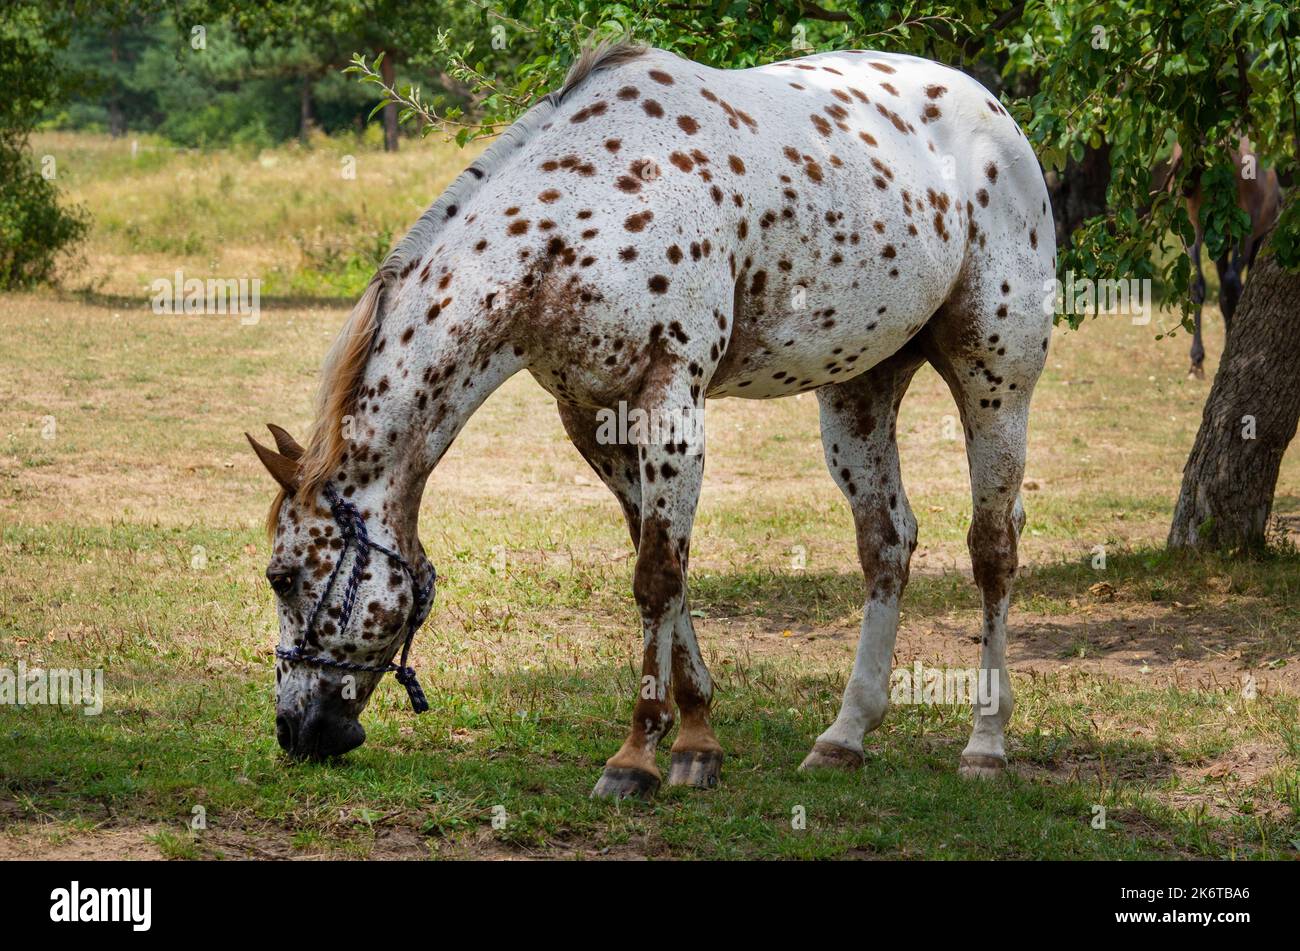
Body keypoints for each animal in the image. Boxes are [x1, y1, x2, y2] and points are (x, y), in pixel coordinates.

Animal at [246, 38, 1056, 798]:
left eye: (282, 577)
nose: (296, 733)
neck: (577, 215)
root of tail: (994, 112)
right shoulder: (593, 418)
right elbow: (662, 562)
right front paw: (696, 740)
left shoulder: (671, 404)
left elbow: (657, 577)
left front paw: (635, 757)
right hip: (861, 389)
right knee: (887, 544)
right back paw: (844, 735)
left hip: (996, 381)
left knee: (992, 547)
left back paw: (985, 745)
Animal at [1168, 137, 1281, 378]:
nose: (1186, 183)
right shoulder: (1199, 231)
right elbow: (1204, 286)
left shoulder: (1240, 237)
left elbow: (1229, 289)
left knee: (1228, 284)